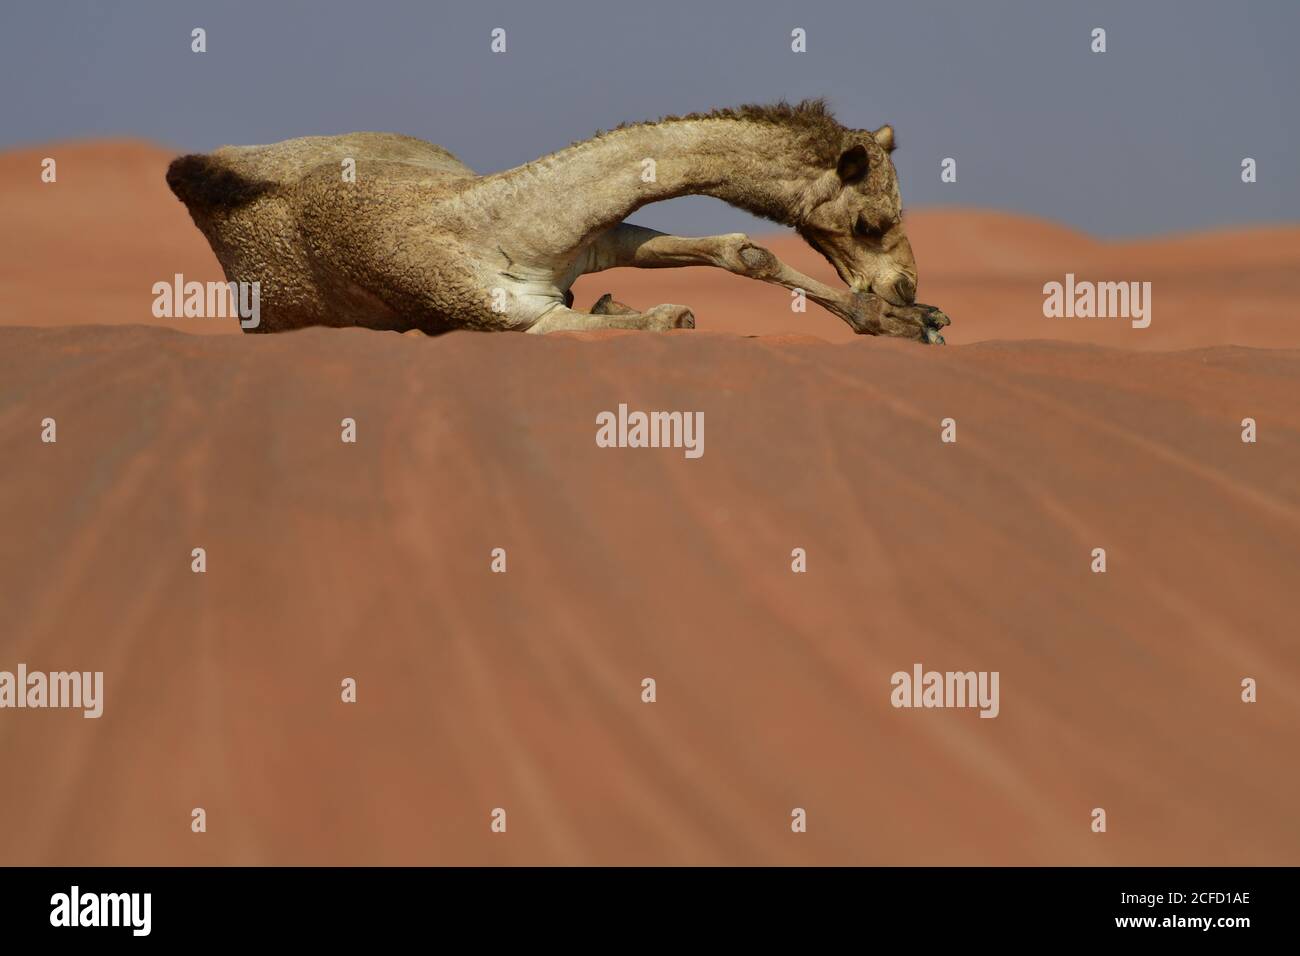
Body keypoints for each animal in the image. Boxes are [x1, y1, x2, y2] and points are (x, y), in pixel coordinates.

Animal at [166, 100, 951, 342]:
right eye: (873, 220)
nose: (907, 286)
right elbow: (670, 319)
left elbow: (740, 251)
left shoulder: (596, 240)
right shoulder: (522, 320)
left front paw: (906, 324)